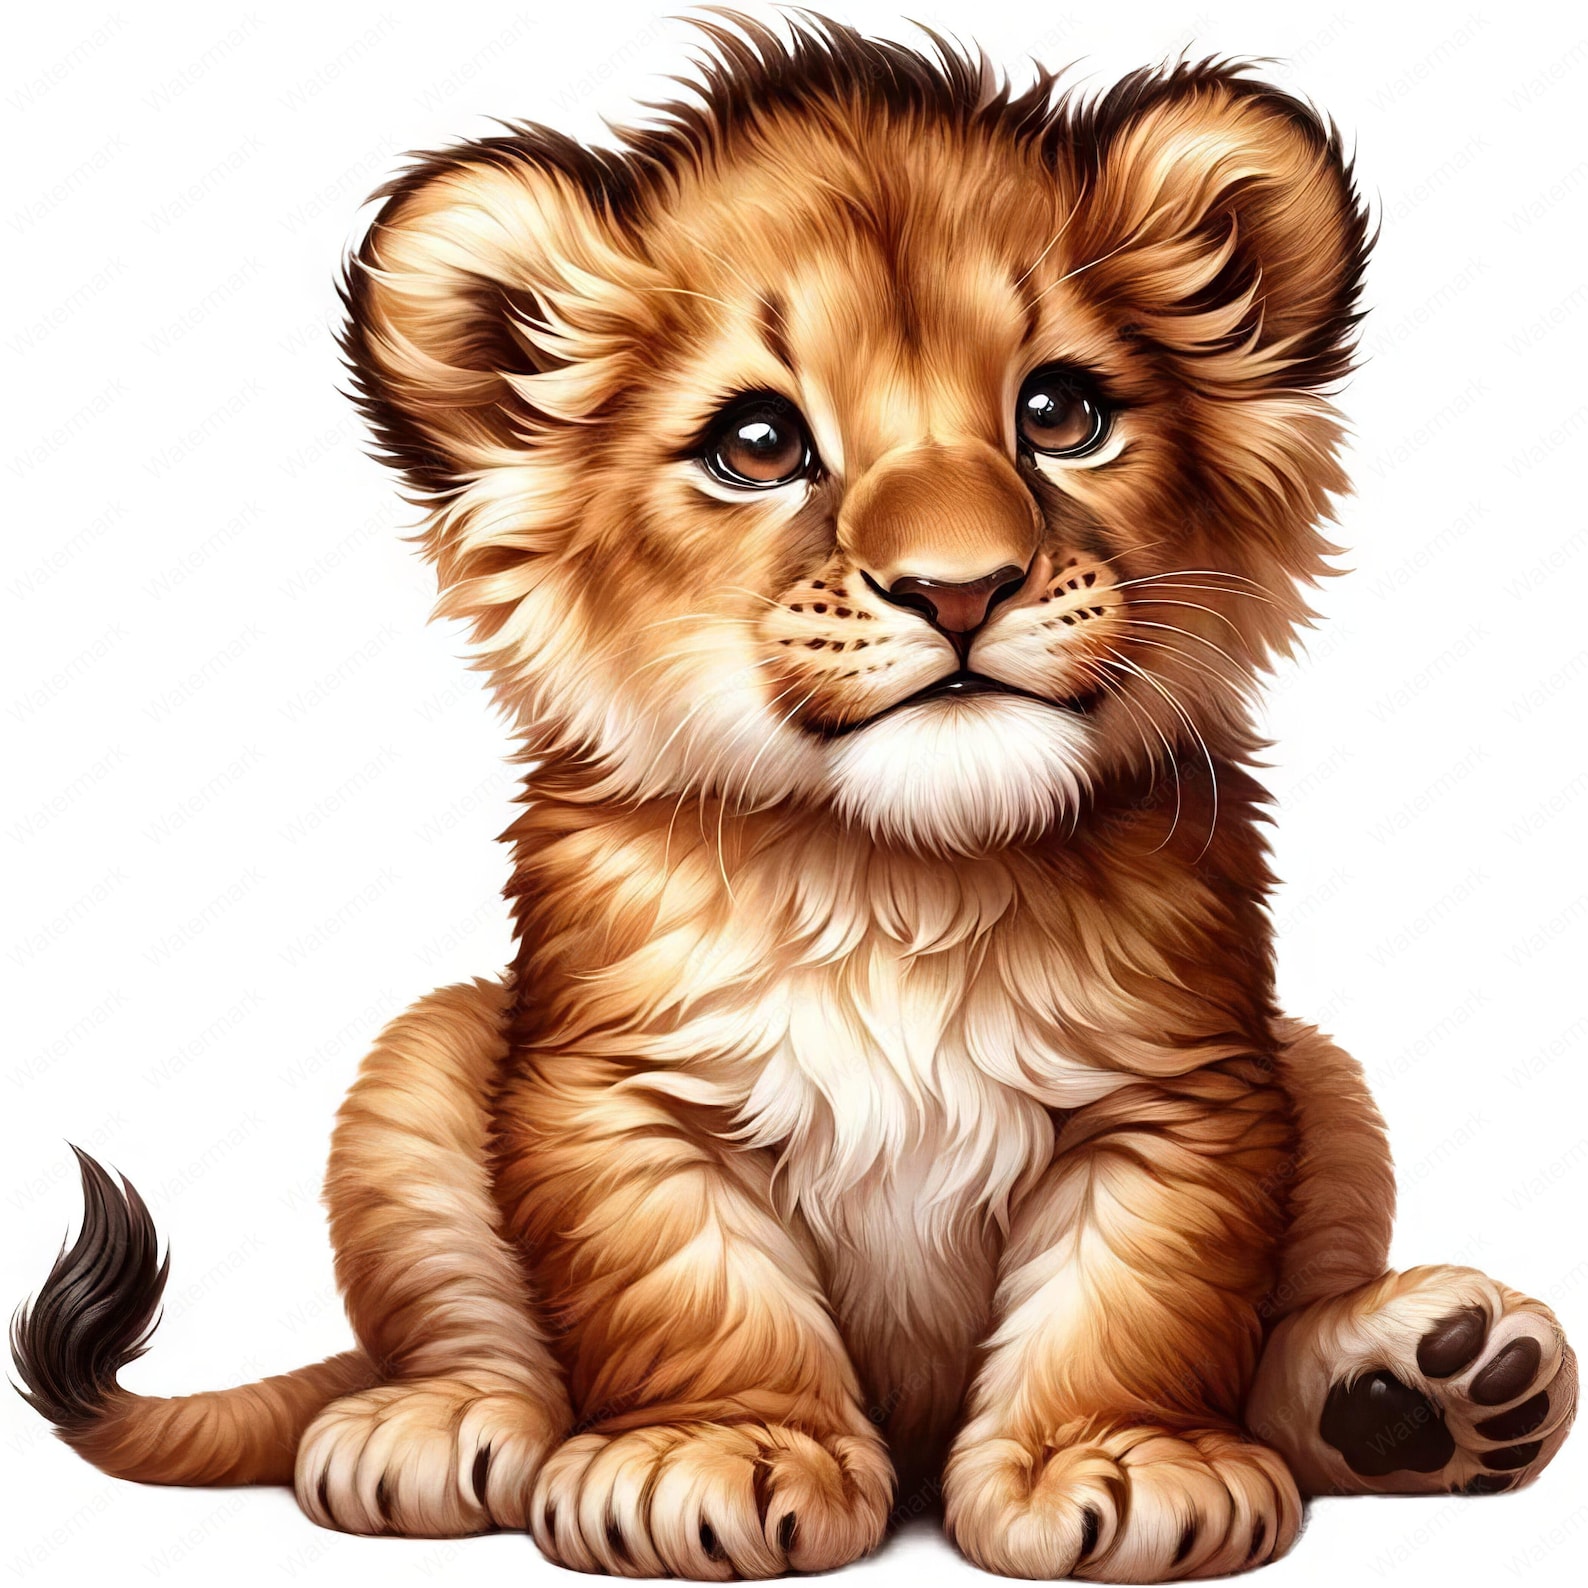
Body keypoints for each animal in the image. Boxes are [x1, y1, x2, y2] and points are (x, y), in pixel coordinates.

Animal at [12, 16, 1577, 1582]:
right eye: (757, 445)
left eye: (1060, 413)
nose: (961, 585)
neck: (903, 884)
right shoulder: (621, 1095)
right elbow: (690, 1285)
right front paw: (712, 1455)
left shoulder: (1183, 1090)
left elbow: (1134, 1293)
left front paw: (1119, 1463)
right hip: (414, 1069)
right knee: (461, 1323)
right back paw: (432, 1423)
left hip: (1333, 1080)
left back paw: (1422, 1387)